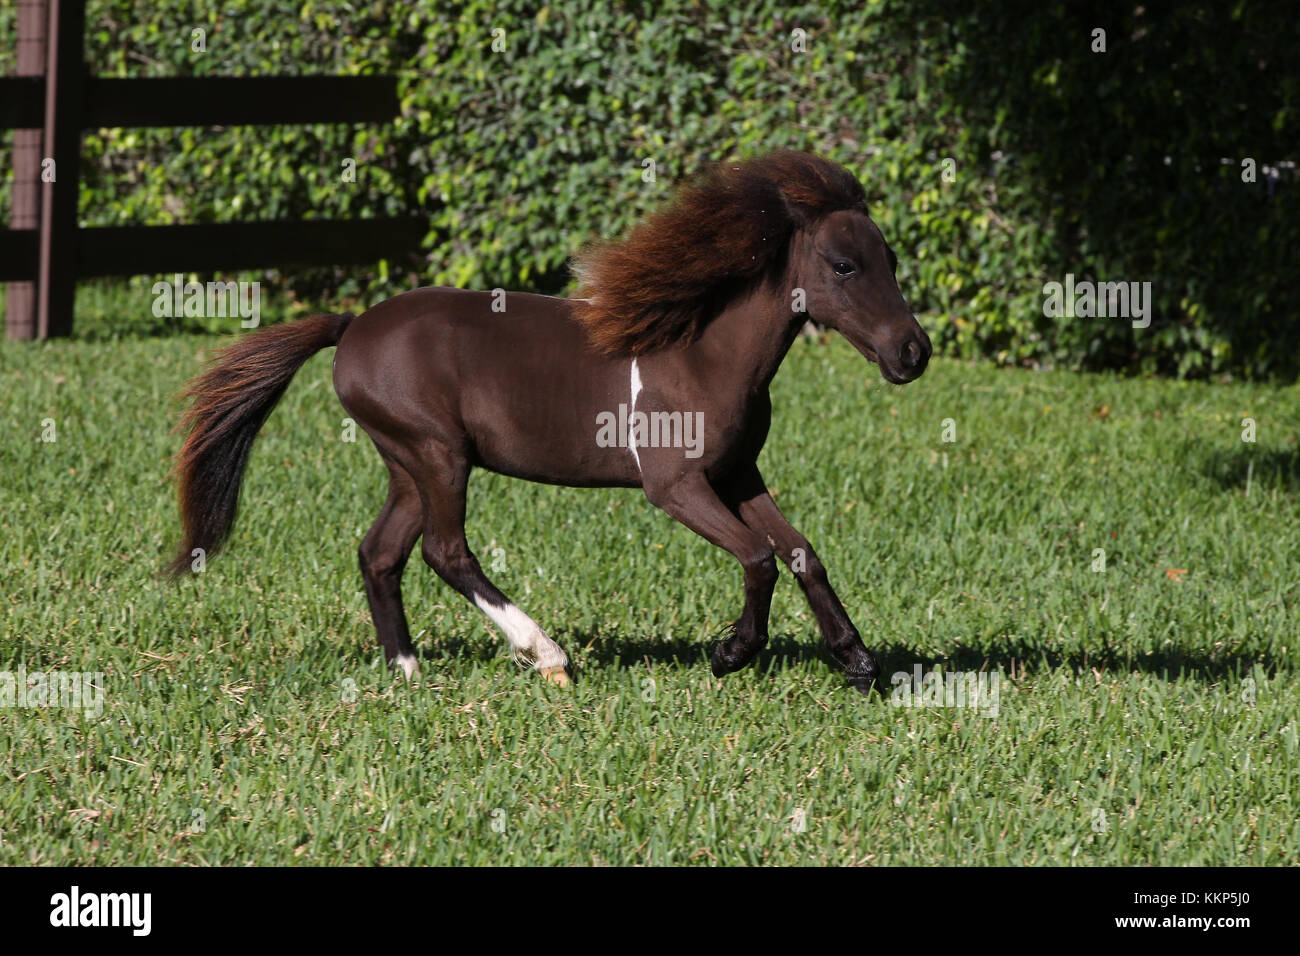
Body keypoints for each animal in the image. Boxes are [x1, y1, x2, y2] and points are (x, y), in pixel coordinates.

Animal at [169, 150, 931, 695]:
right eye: (844, 265)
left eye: (891, 259)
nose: (912, 352)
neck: (704, 355)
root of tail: (351, 326)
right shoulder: (676, 486)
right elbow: (759, 557)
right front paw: (731, 653)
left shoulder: (738, 473)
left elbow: (801, 551)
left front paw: (858, 660)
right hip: (437, 454)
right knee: (446, 551)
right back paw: (548, 656)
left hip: (408, 463)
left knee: (380, 552)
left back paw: (408, 670)